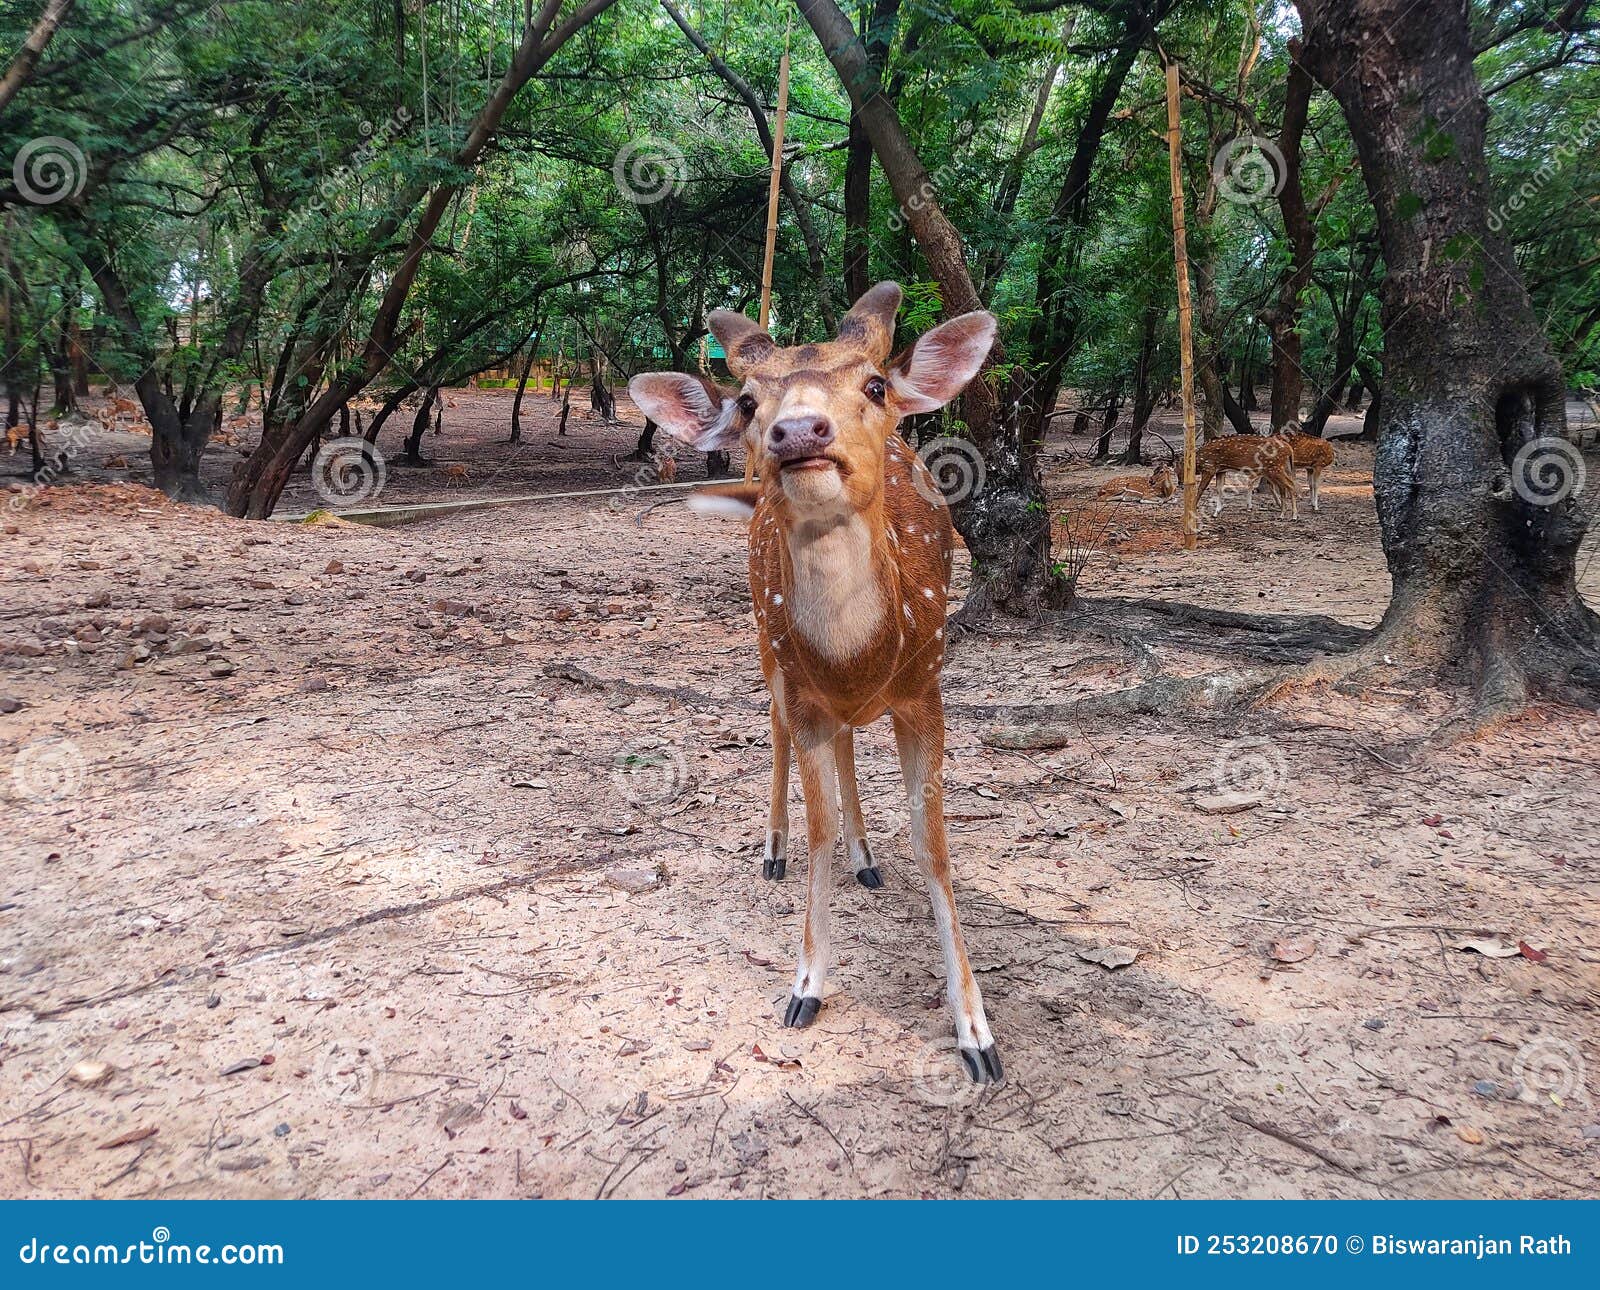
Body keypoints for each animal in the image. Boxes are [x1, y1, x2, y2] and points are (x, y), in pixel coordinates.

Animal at [629, 282, 1004, 1084]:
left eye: (875, 385)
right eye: (745, 400)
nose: (798, 429)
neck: (860, 656)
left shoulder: (926, 688)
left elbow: (933, 843)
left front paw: (977, 1035)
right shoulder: (803, 693)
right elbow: (819, 825)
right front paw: (804, 987)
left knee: (850, 743)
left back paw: (868, 860)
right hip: (764, 640)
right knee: (776, 730)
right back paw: (773, 849)